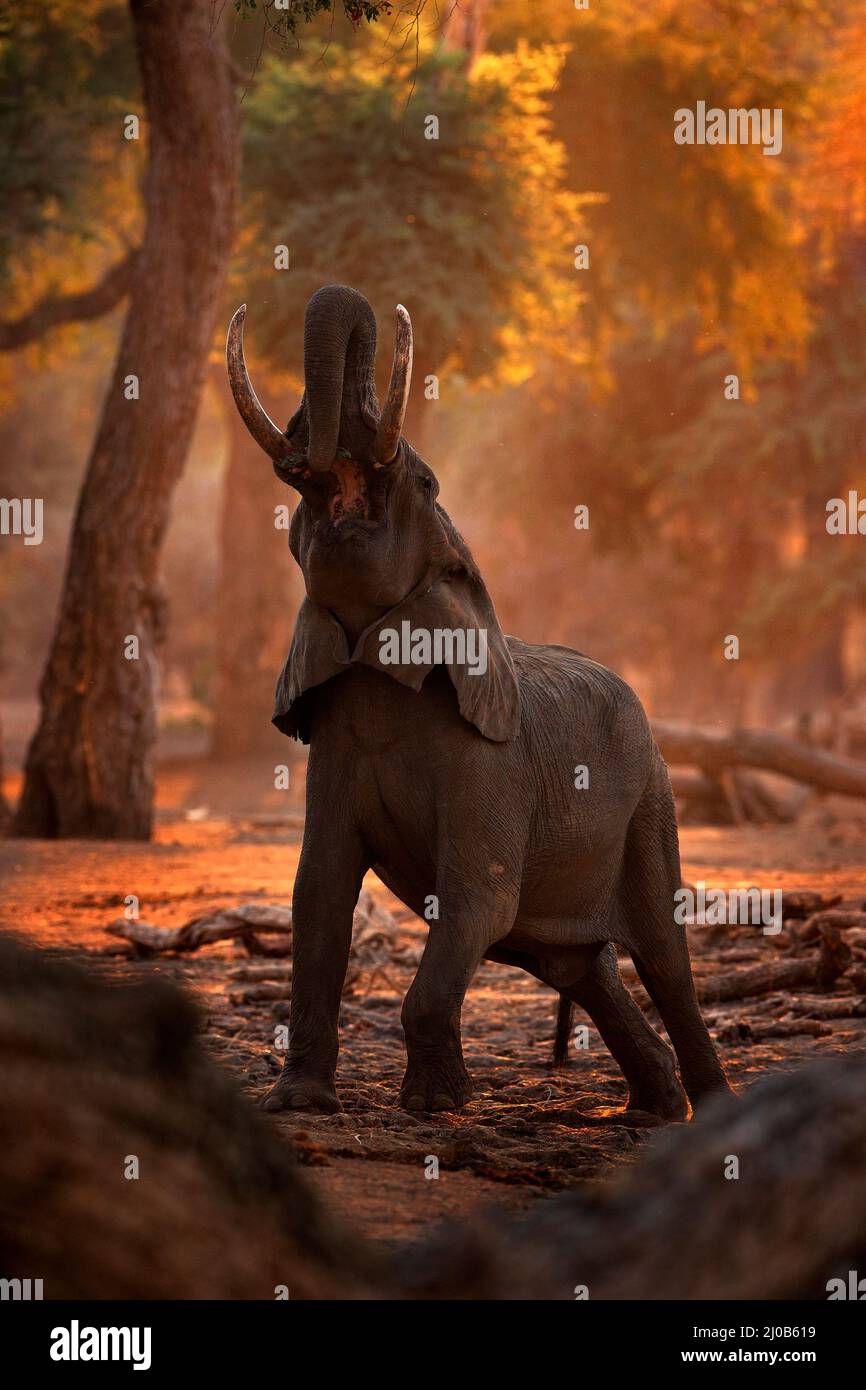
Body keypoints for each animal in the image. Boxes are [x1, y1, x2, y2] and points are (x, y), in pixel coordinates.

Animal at [225, 283, 731, 1120]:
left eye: (426, 484)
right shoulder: (334, 746)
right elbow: (318, 893)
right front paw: (298, 1104)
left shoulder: (492, 768)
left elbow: (476, 900)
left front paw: (436, 1106)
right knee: (572, 963)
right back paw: (652, 1106)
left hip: (651, 803)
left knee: (663, 956)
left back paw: (706, 1111)